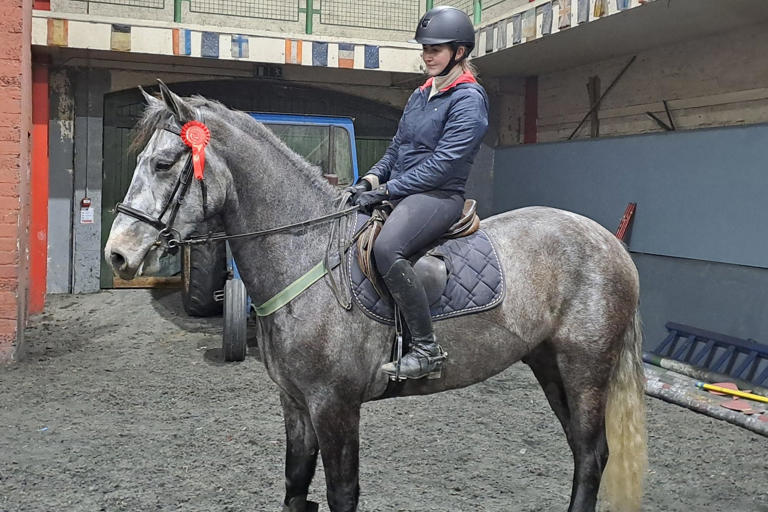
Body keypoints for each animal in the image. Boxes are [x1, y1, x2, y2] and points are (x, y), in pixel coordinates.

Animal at [105, 82, 647, 512]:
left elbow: (343, 493)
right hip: (549, 364)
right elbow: (295, 485)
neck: (306, 255)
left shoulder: (335, 406)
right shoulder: (295, 403)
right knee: (583, 450)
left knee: (592, 455)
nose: (118, 254)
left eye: (163, 162)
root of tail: (610, 243)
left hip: (585, 367)